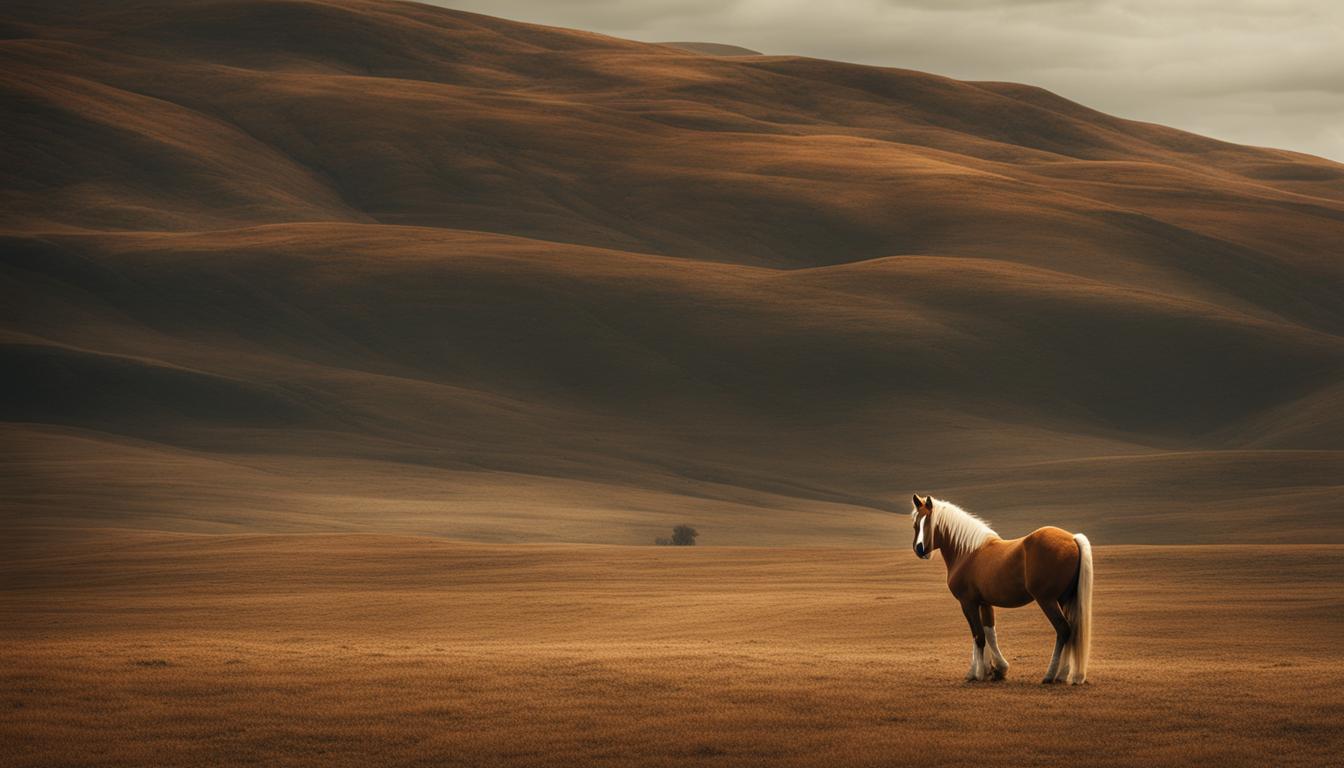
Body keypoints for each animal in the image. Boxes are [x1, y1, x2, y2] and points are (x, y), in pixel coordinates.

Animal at [910, 494, 1093, 685]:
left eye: (929, 522)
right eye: (915, 524)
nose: (919, 549)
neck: (967, 553)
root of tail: (1072, 538)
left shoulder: (967, 603)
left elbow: (978, 636)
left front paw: (976, 673)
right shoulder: (984, 603)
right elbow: (989, 632)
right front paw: (997, 669)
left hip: (1047, 600)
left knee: (1063, 630)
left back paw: (1050, 675)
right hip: (1064, 599)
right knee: (1072, 632)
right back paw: (1063, 674)